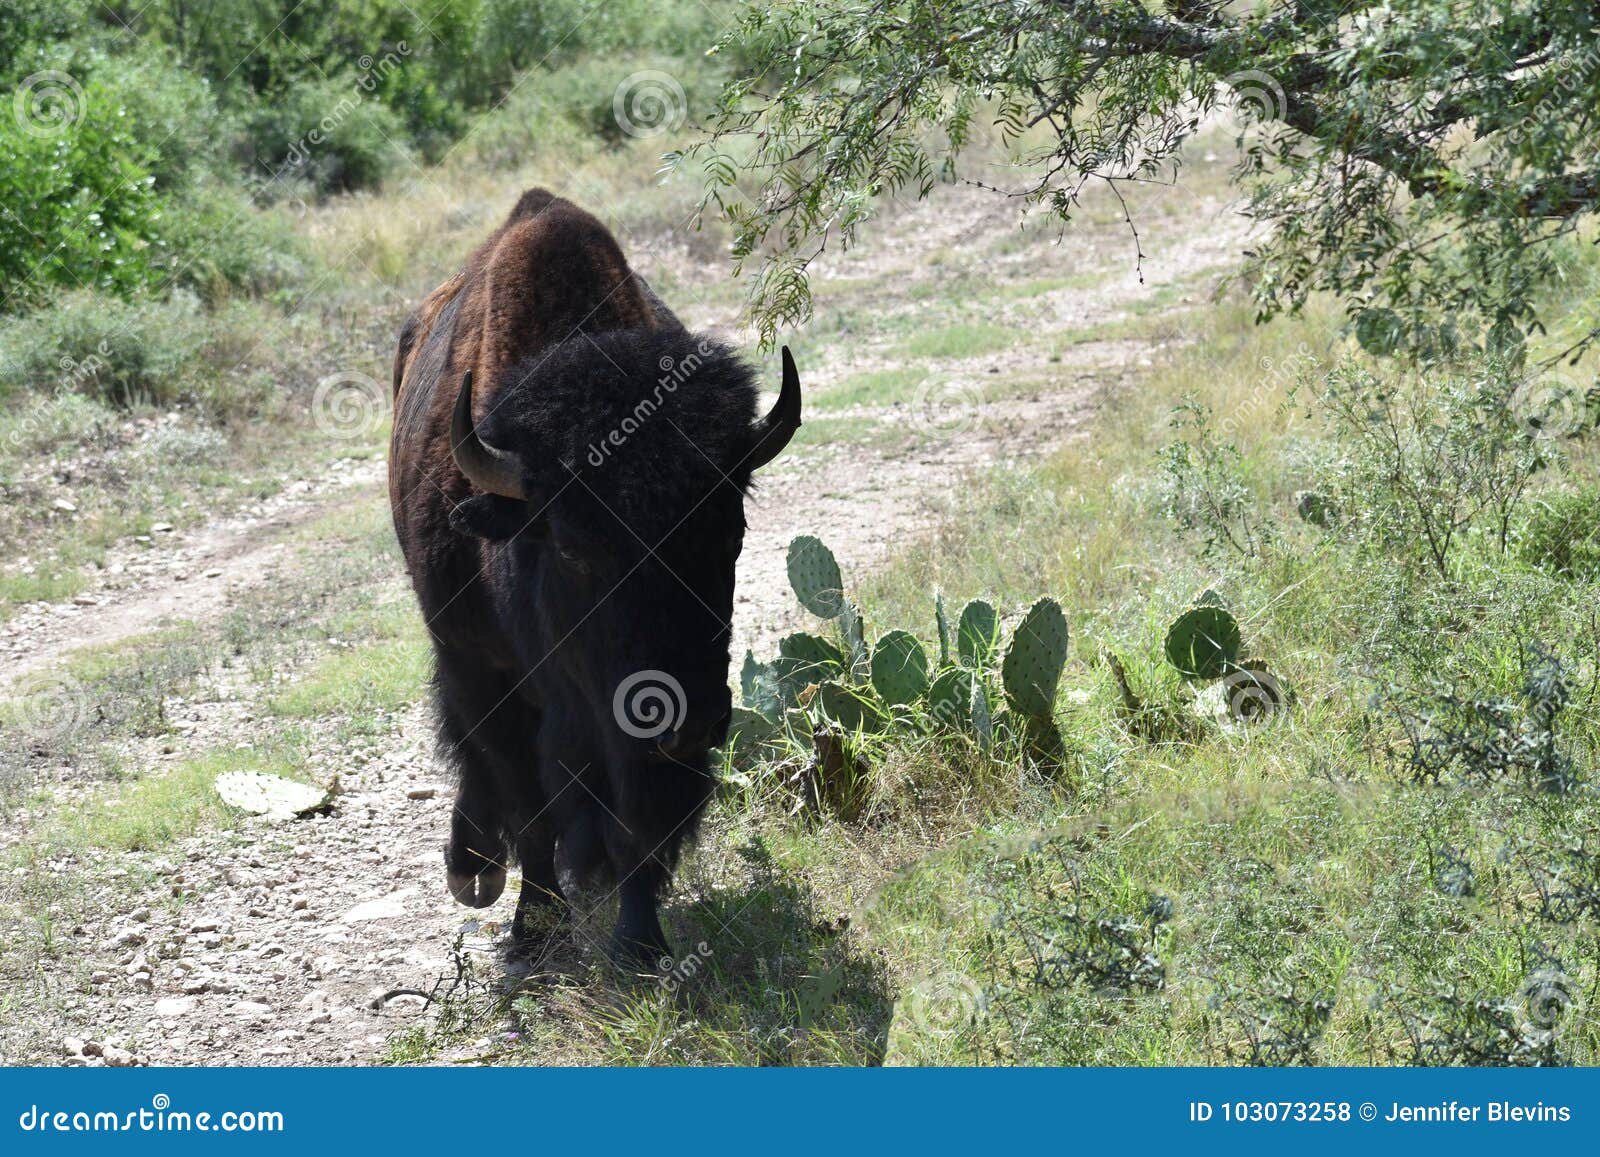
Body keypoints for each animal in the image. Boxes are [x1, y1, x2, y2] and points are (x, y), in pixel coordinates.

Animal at [388, 189, 801, 965]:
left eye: (729, 535)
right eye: (577, 551)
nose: (689, 718)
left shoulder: (633, 733)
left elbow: (636, 822)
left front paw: (640, 947)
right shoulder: (484, 673)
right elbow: (529, 805)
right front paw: (534, 932)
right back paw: (475, 869)